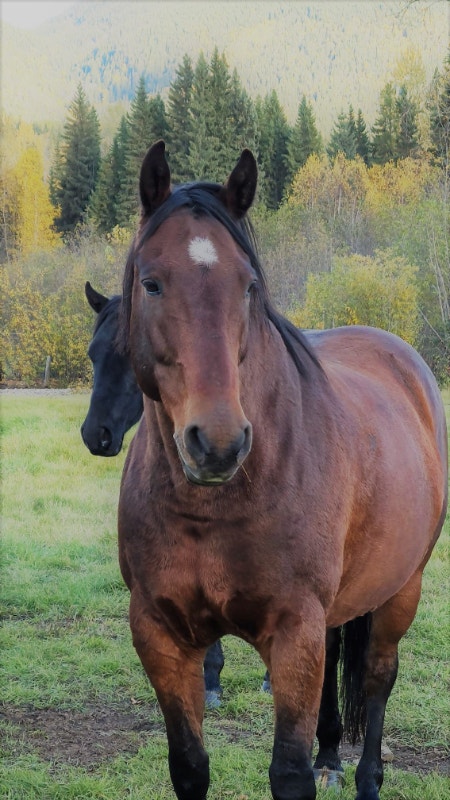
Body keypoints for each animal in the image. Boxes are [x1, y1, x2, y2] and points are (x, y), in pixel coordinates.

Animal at [117, 140, 448, 800]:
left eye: (249, 286)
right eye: (152, 283)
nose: (218, 443)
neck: (213, 508)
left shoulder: (295, 633)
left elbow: (289, 774)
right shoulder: (160, 634)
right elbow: (189, 766)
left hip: (404, 589)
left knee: (377, 677)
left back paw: (367, 778)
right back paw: (332, 754)